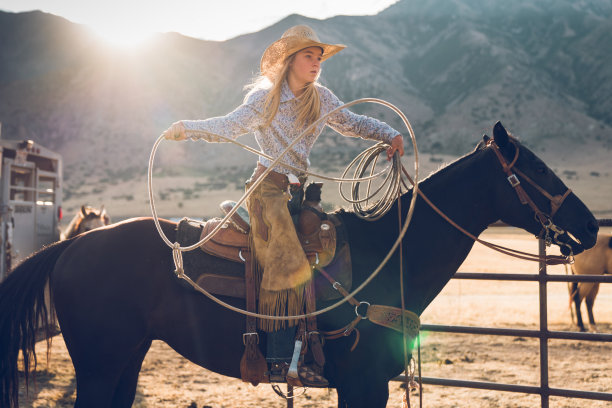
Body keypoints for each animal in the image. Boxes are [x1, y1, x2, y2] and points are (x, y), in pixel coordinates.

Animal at [0, 122, 596, 408]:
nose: (591, 226)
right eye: (538, 168)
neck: (391, 253)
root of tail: (71, 248)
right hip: (99, 365)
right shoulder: (365, 385)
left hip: (125, 359)